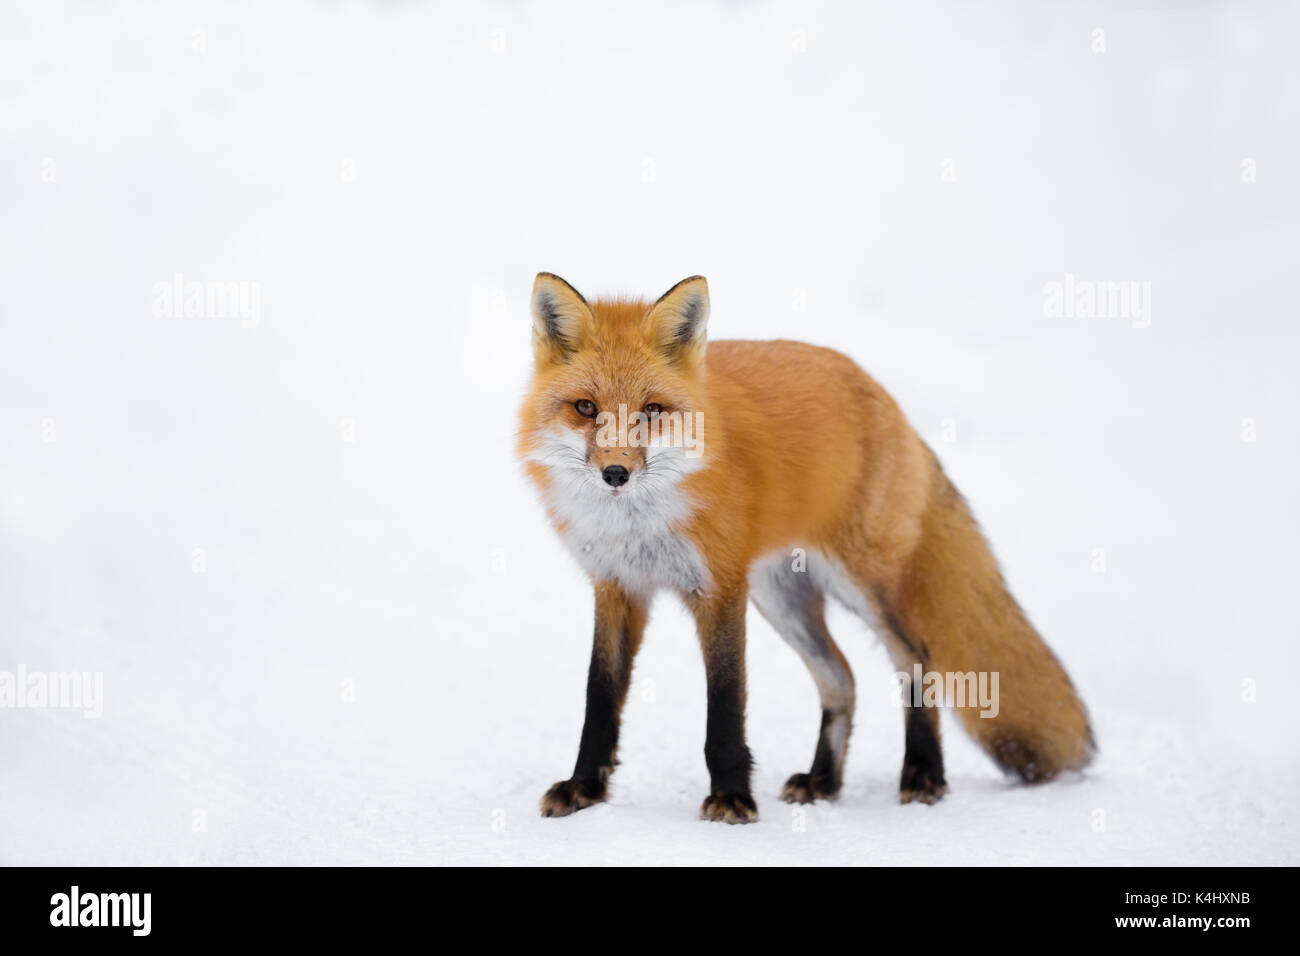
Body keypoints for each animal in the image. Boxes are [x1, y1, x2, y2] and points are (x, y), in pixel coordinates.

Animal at [517, 272, 1094, 824]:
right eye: (586, 408)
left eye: (652, 410)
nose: (615, 473)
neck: (637, 525)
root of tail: (881, 395)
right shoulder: (617, 585)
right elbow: (599, 701)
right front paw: (584, 791)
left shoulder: (719, 588)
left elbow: (725, 707)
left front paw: (731, 798)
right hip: (782, 597)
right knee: (843, 679)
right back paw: (824, 781)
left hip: (861, 586)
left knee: (917, 660)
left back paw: (923, 774)